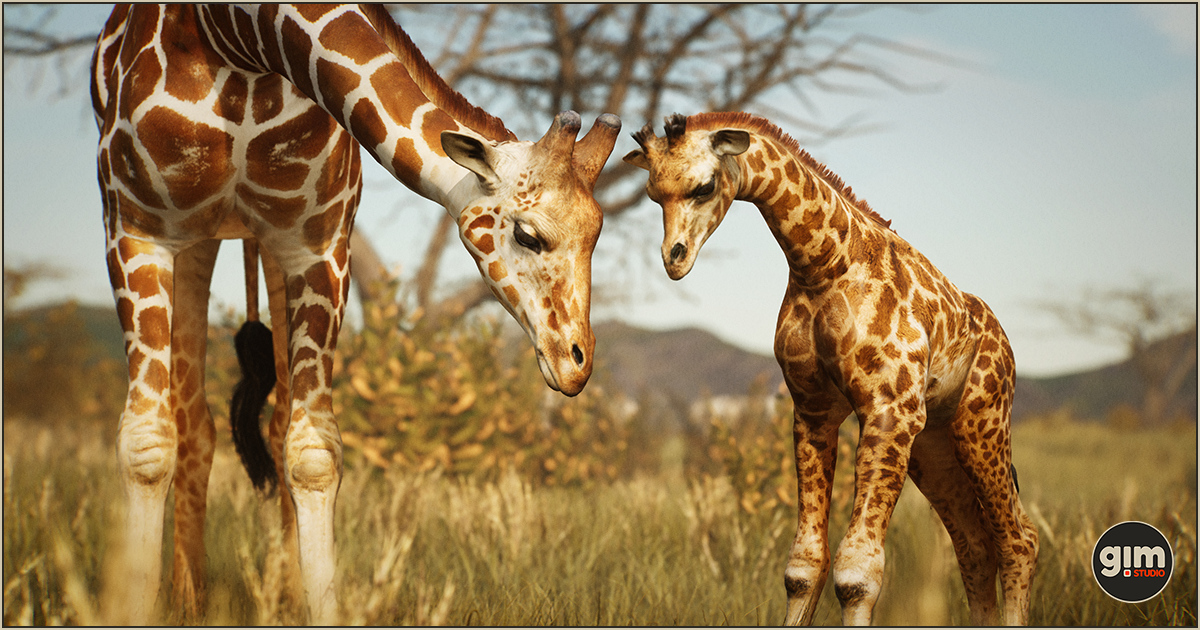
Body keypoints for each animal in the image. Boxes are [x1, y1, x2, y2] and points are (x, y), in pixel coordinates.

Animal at [90, 4, 619, 624]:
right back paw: (187, 597)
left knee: (268, 422)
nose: (577, 364)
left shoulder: (315, 241)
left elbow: (312, 450)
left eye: (597, 233)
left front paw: (312, 601)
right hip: (198, 242)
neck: (240, 43)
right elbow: (146, 444)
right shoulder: (136, 228)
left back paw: (277, 595)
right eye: (529, 235)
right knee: (192, 418)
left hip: (262, 246)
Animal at [625, 113, 1038, 625]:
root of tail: (1004, 343)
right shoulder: (814, 410)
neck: (823, 265)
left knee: (1018, 539)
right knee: (975, 545)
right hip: (933, 445)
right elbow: (803, 567)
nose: (673, 259)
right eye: (652, 193)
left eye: (704, 186)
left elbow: (857, 574)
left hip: (980, 422)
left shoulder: (889, 409)